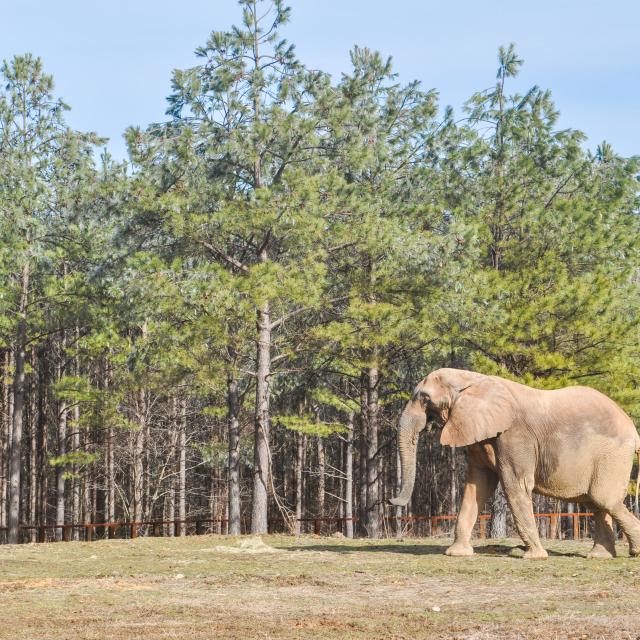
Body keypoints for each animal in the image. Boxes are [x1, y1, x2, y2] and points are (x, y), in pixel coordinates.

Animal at [390, 367, 640, 559]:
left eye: (424, 398)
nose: (390, 500)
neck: (472, 380)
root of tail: (632, 427)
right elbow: (477, 486)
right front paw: (456, 554)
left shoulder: (515, 436)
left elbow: (515, 486)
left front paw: (534, 557)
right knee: (596, 502)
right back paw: (600, 556)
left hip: (613, 455)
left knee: (603, 498)